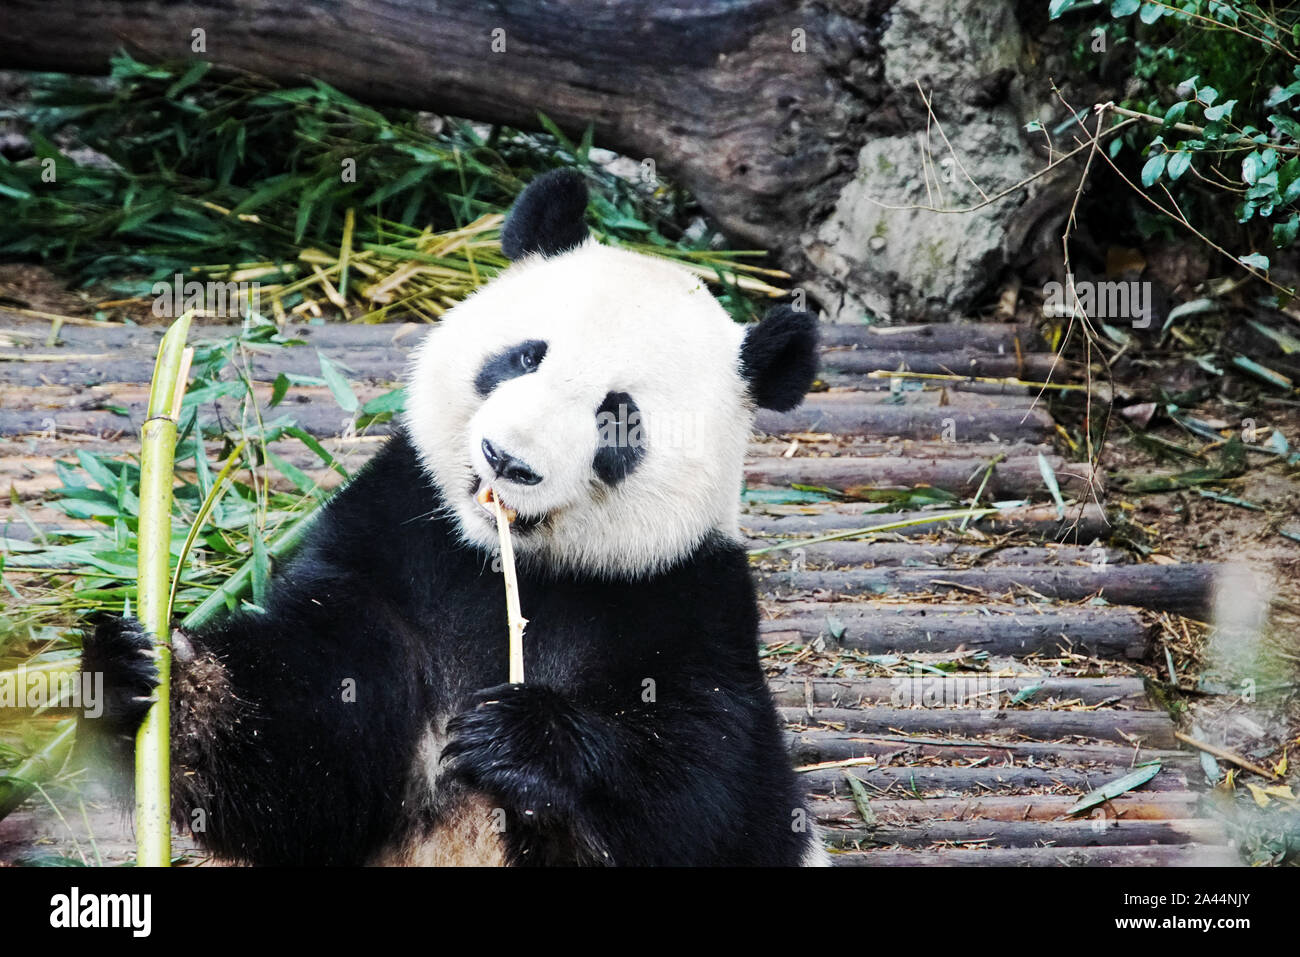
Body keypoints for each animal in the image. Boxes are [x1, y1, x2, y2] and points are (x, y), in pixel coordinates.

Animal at [81, 170, 821, 868]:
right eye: (525, 356)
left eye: (619, 417)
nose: (507, 459)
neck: (507, 564)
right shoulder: (390, 551)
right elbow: (301, 758)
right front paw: (156, 675)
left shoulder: (684, 601)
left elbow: (709, 794)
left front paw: (521, 739)